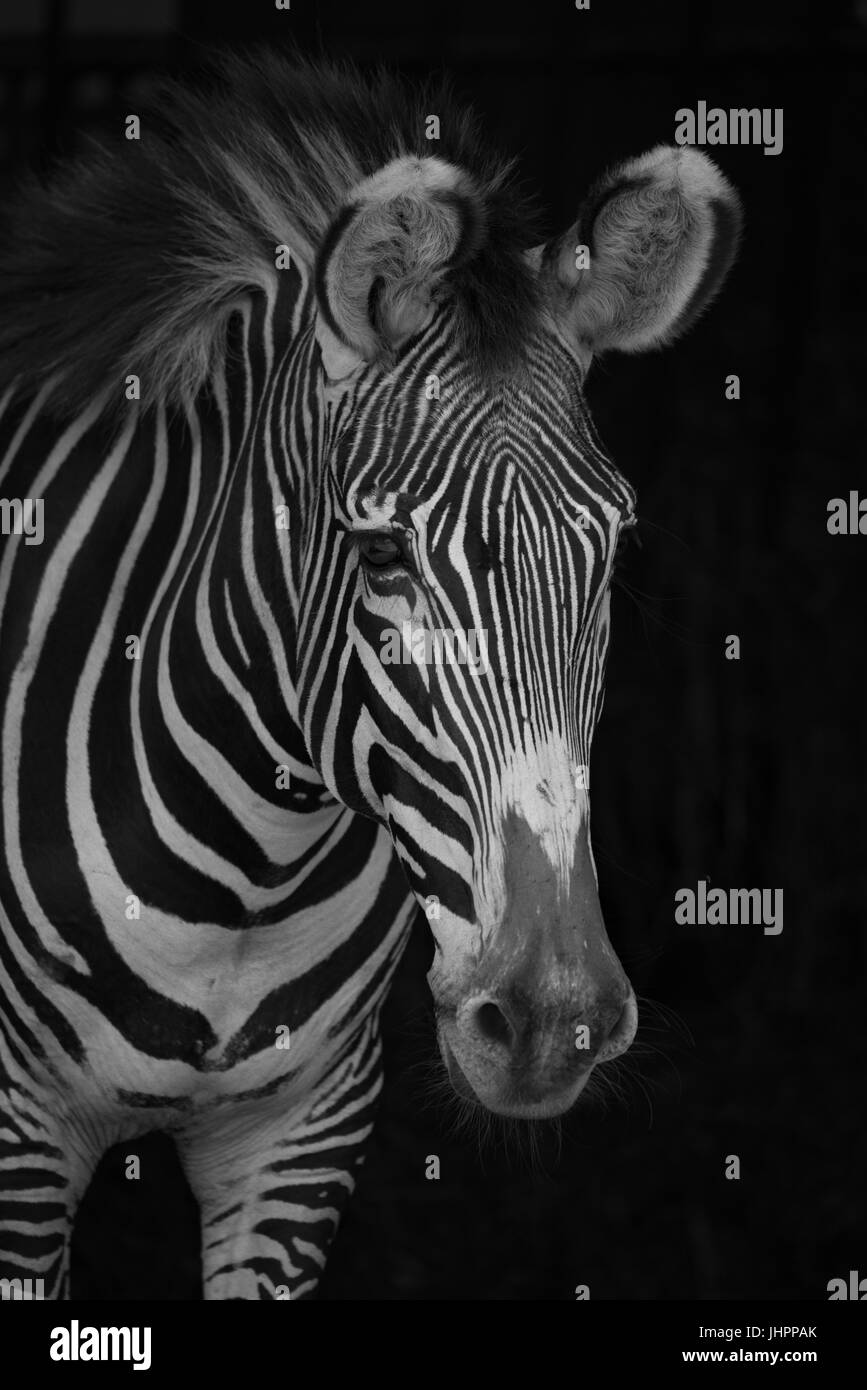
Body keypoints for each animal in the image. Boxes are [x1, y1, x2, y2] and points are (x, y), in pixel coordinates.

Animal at [0, 52, 741, 1300]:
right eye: (385, 555)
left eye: (611, 550)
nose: (550, 1022)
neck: (243, 882)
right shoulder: (19, 1135)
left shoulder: (303, 1139)